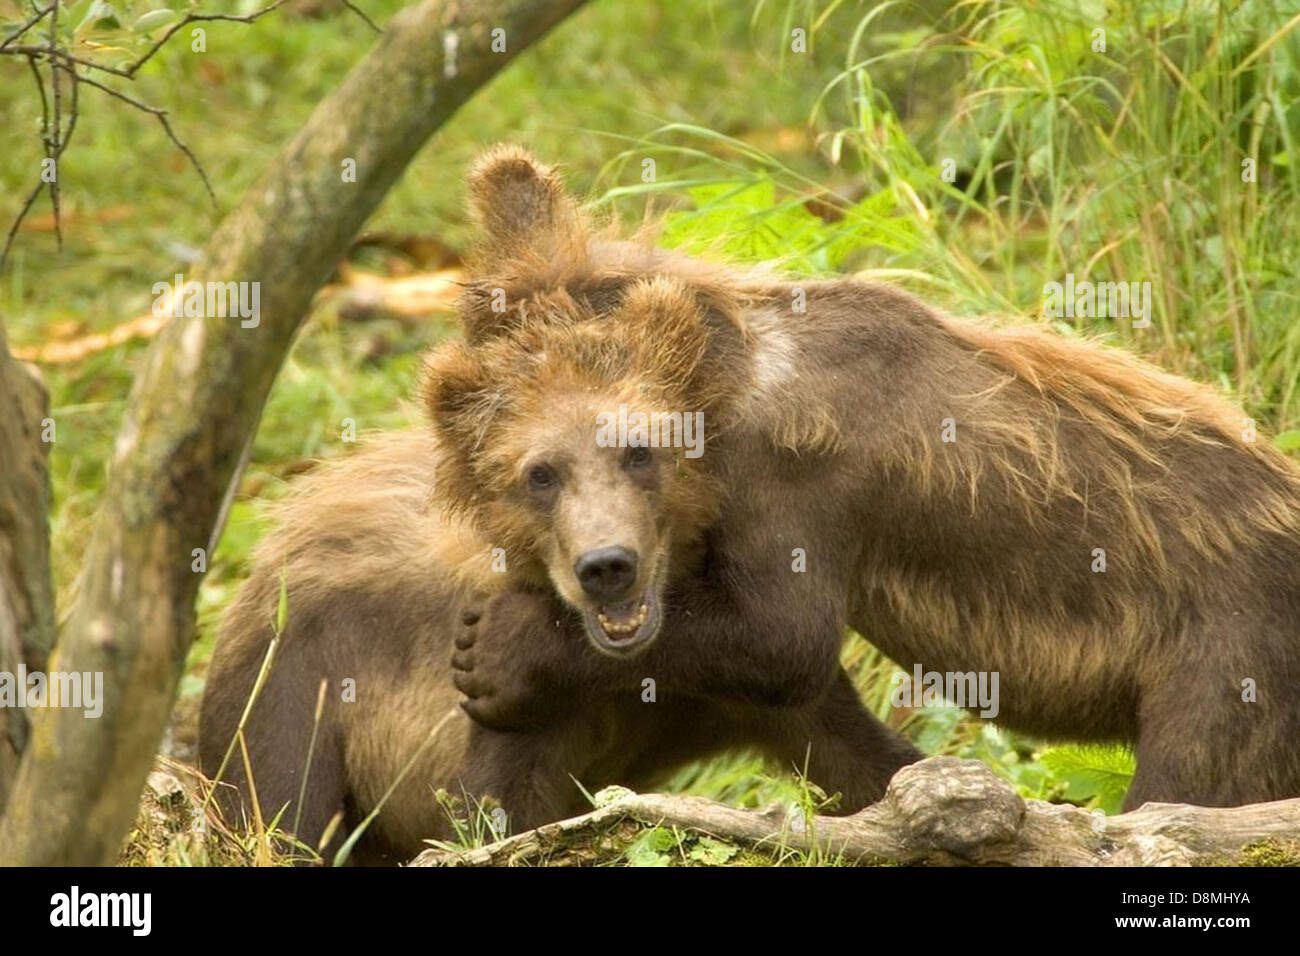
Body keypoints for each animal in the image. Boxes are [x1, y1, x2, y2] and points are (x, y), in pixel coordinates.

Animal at [447, 145, 1300, 812]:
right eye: (532, 470)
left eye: (634, 452)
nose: (605, 566)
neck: (717, 396)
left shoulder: (790, 486)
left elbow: (781, 638)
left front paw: (497, 649)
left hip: (1228, 647)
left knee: (1189, 780)